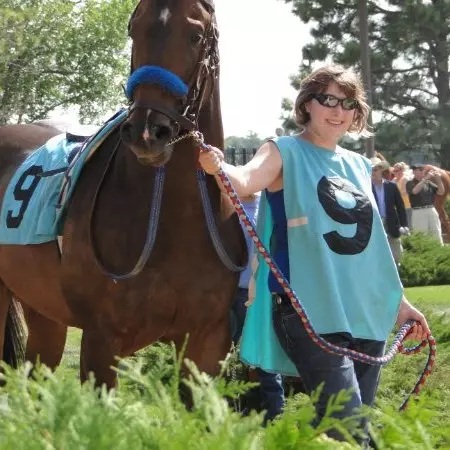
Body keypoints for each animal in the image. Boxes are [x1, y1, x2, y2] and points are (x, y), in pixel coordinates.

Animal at [0, 0, 246, 386]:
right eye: (134, 30)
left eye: (195, 34)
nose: (147, 132)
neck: (175, 217)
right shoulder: (101, 341)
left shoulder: (207, 342)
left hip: (43, 309)